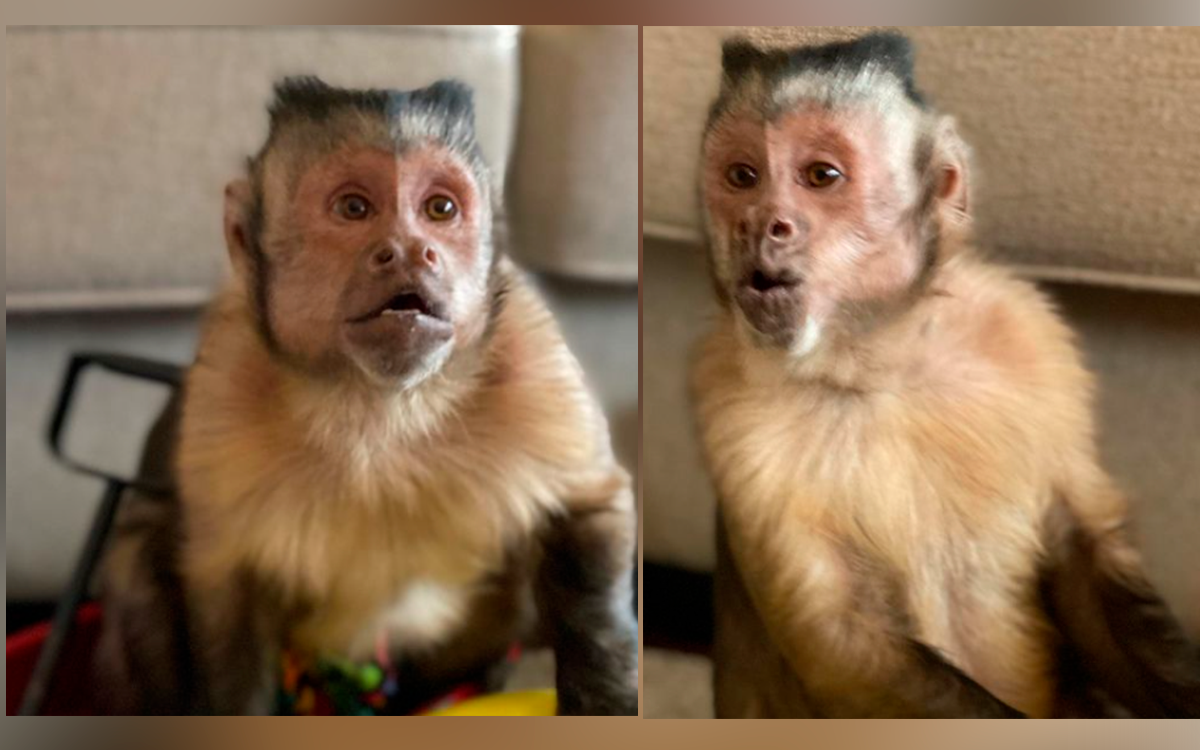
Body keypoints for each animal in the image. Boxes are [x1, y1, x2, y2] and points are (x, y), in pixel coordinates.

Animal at [94, 77, 638, 716]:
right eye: (354, 208)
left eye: (440, 209)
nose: (407, 249)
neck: (382, 406)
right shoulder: (223, 386)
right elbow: (225, 587)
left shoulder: (535, 362)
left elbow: (589, 506)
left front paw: (602, 699)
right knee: (135, 561)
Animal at [691, 33, 1200, 718]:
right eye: (742, 177)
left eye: (821, 176)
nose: (761, 224)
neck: (880, 362)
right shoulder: (727, 405)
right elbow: (844, 648)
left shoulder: (1032, 339)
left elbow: (1081, 548)